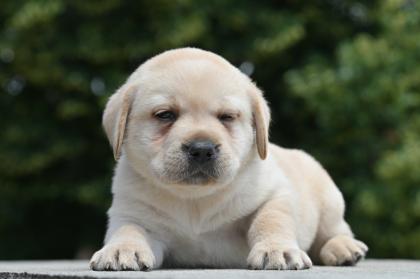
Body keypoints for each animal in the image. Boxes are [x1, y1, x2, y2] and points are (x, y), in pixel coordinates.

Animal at [89, 47, 368, 272]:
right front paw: (121, 249)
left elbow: (270, 220)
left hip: (330, 202)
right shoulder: (131, 212)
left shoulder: (275, 194)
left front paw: (276, 249)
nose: (202, 149)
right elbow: (128, 229)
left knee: (334, 231)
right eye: (165, 115)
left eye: (227, 117)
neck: (194, 199)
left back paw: (344, 248)